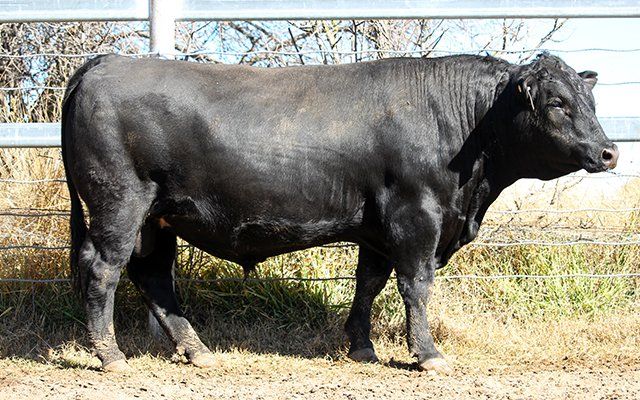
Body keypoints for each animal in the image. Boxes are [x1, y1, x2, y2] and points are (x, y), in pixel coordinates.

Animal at [61, 53, 618, 373]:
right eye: (556, 102)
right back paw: (111, 357)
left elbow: (369, 282)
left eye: (589, 98)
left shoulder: (378, 228)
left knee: (153, 276)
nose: (609, 152)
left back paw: (198, 350)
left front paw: (362, 348)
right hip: (119, 204)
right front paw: (428, 355)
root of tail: (104, 62)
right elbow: (415, 285)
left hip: (155, 219)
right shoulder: (417, 217)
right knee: (104, 271)